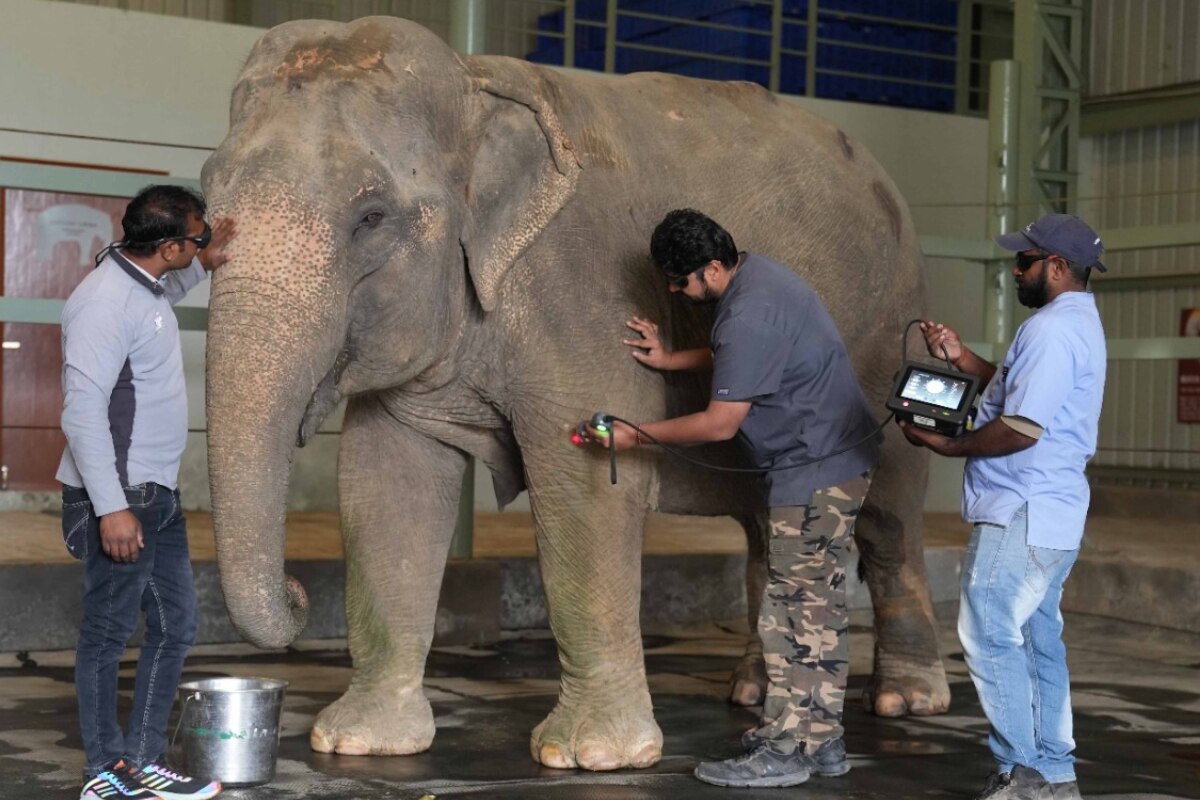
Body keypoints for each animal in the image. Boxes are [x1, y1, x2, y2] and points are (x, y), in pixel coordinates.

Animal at [202, 16, 950, 771]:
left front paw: (593, 756)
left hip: (889, 330)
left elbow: (584, 487)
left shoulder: (583, 292)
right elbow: (387, 481)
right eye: (205, 198)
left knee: (887, 513)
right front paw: (359, 742)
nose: (299, 592)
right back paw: (750, 691)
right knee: (773, 529)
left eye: (371, 217)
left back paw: (906, 701)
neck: (474, 86)